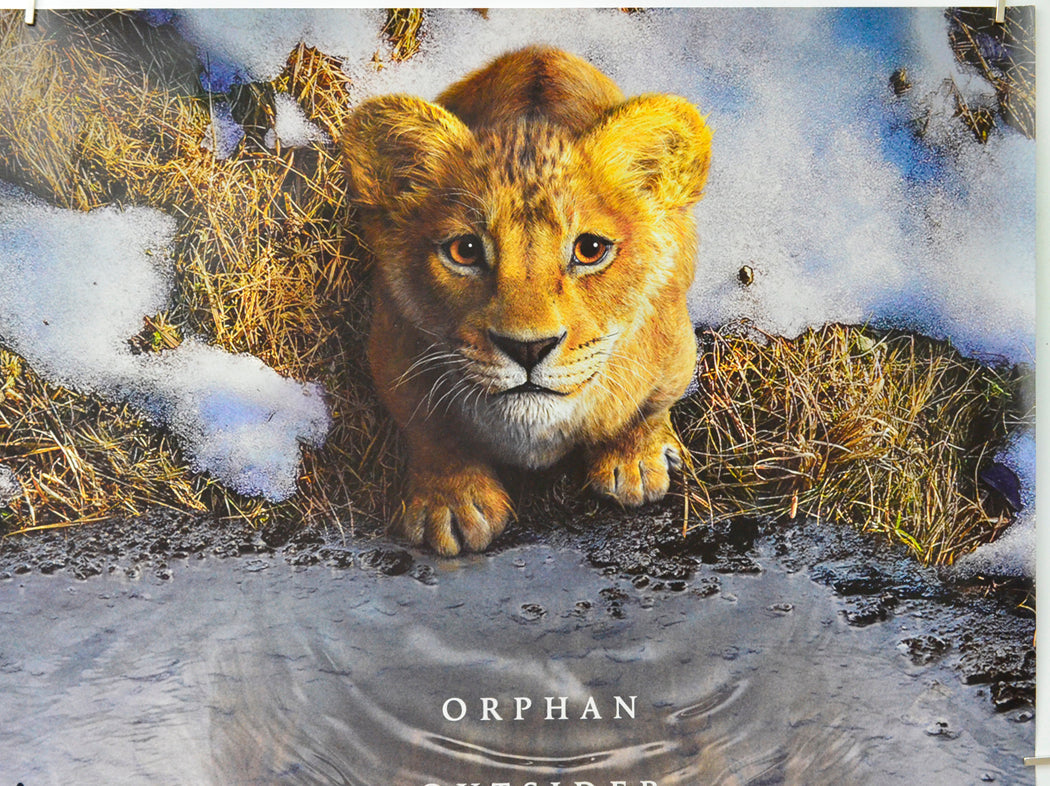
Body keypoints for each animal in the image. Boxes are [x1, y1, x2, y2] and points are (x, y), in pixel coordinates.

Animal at [341, 46, 712, 556]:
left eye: (590, 249)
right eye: (465, 250)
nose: (528, 348)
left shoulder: (674, 346)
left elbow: (648, 406)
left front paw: (635, 461)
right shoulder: (392, 348)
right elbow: (431, 431)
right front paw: (451, 503)